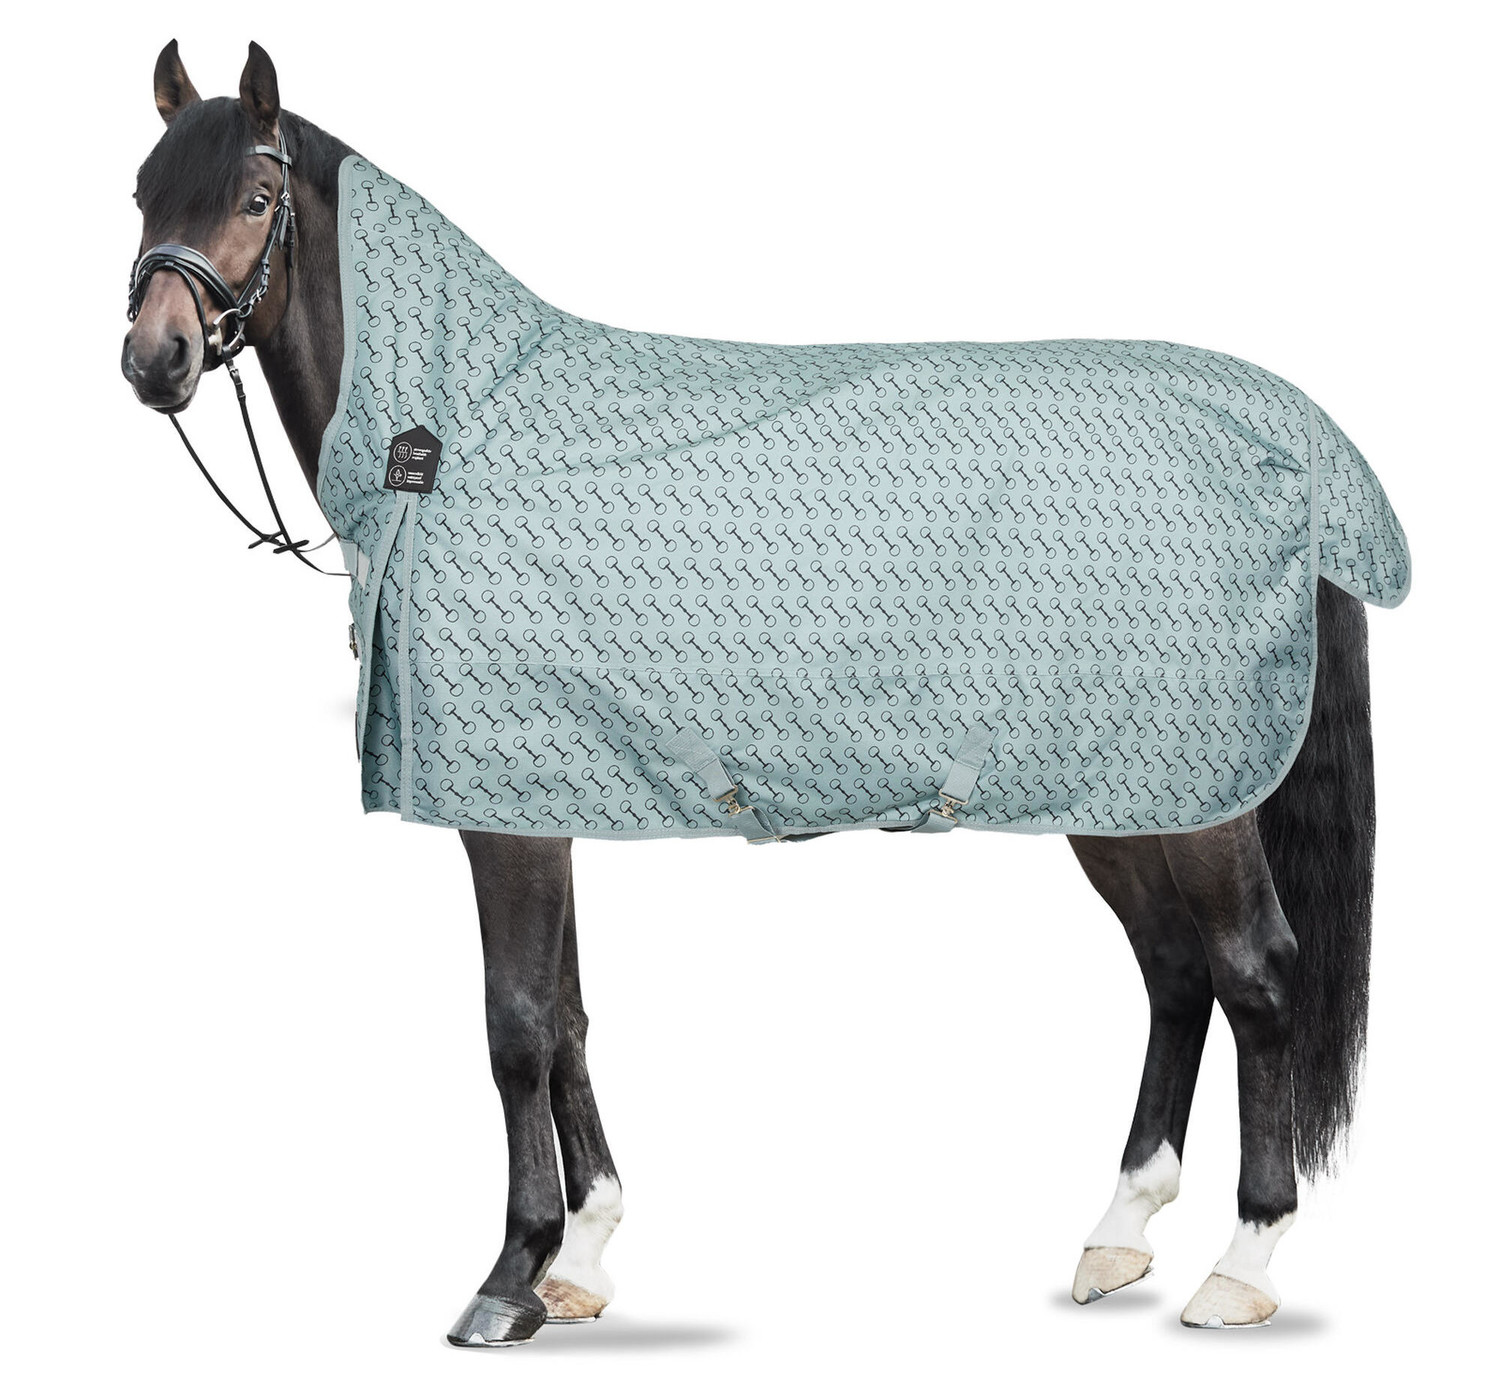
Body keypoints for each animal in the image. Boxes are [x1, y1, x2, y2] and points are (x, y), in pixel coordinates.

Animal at [121, 40, 1406, 1344]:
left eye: (255, 199)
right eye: (141, 193)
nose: (153, 359)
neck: (451, 440)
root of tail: (1299, 442)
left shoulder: (503, 814)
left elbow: (515, 1026)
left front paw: (510, 1273)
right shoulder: (547, 803)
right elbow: (570, 1018)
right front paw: (584, 1255)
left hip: (1200, 801)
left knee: (1256, 974)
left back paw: (1242, 1263)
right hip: (1125, 791)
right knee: (1177, 973)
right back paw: (1119, 1234)